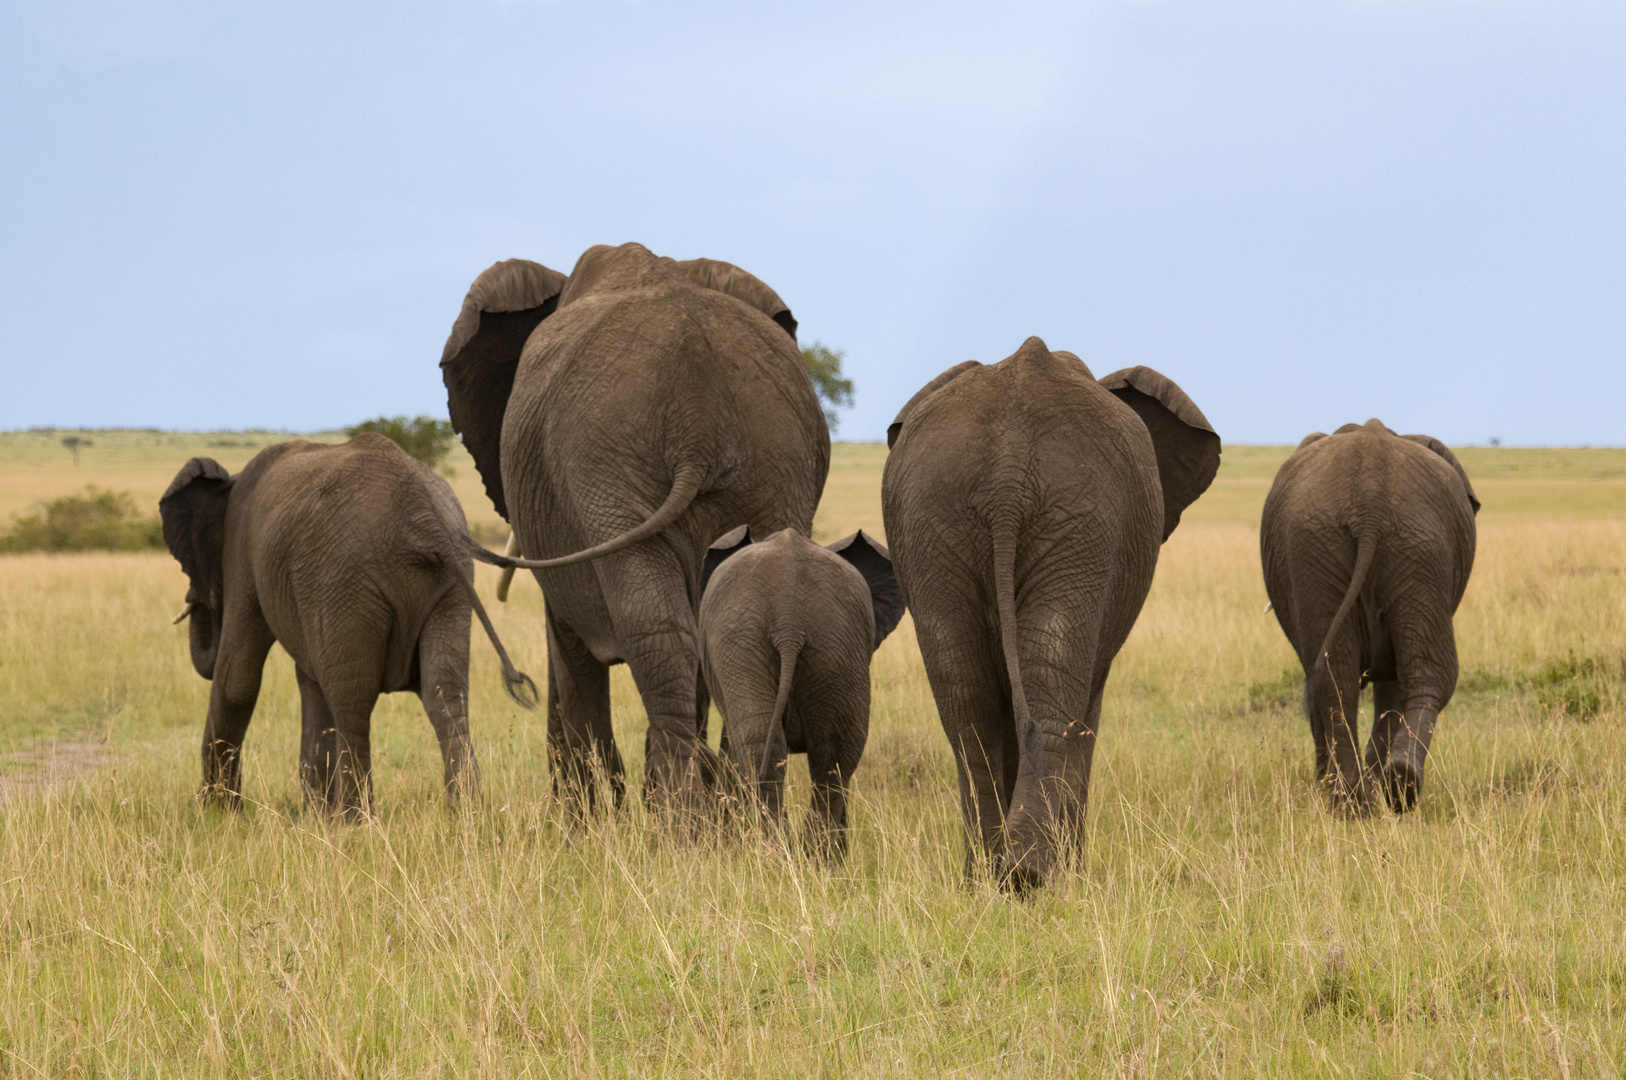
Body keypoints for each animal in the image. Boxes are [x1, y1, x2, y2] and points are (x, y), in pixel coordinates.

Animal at [162, 435, 536, 813]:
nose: (194, 600)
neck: (231, 482)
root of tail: (423, 514)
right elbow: (309, 680)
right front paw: (315, 814)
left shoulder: (242, 553)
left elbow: (237, 679)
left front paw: (214, 811)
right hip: (448, 587)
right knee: (444, 691)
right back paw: (465, 813)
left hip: (344, 578)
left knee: (351, 698)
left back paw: (356, 818)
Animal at [442, 239, 832, 810]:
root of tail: (699, 414)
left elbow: (569, 646)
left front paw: (583, 820)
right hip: (775, 465)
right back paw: (732, 813)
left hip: (603, 464)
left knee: (657, 631)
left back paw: (678, 816)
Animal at [695, 523, 910, 858]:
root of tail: (788, 619)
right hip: (830, 644)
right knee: (829, 754)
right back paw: (812, 857)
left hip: (762, 642)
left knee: (785, 750)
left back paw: (791, 855)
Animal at [878, 338, 1222, 884]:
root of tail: (1007, 473)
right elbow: (1089, 709)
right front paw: (1074, 872)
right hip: (1081, 519)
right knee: (1056, 688)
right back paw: (1033, 875)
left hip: (933, 519)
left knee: (968, 703)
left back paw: (989, 876)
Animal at [1261, 416, 1482, 813]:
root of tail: (1370, 500)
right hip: (1396, 546)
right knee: (1411, 674)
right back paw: (1380, 792)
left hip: (1386, 545)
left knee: (1342, 675)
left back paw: (1361, 797)